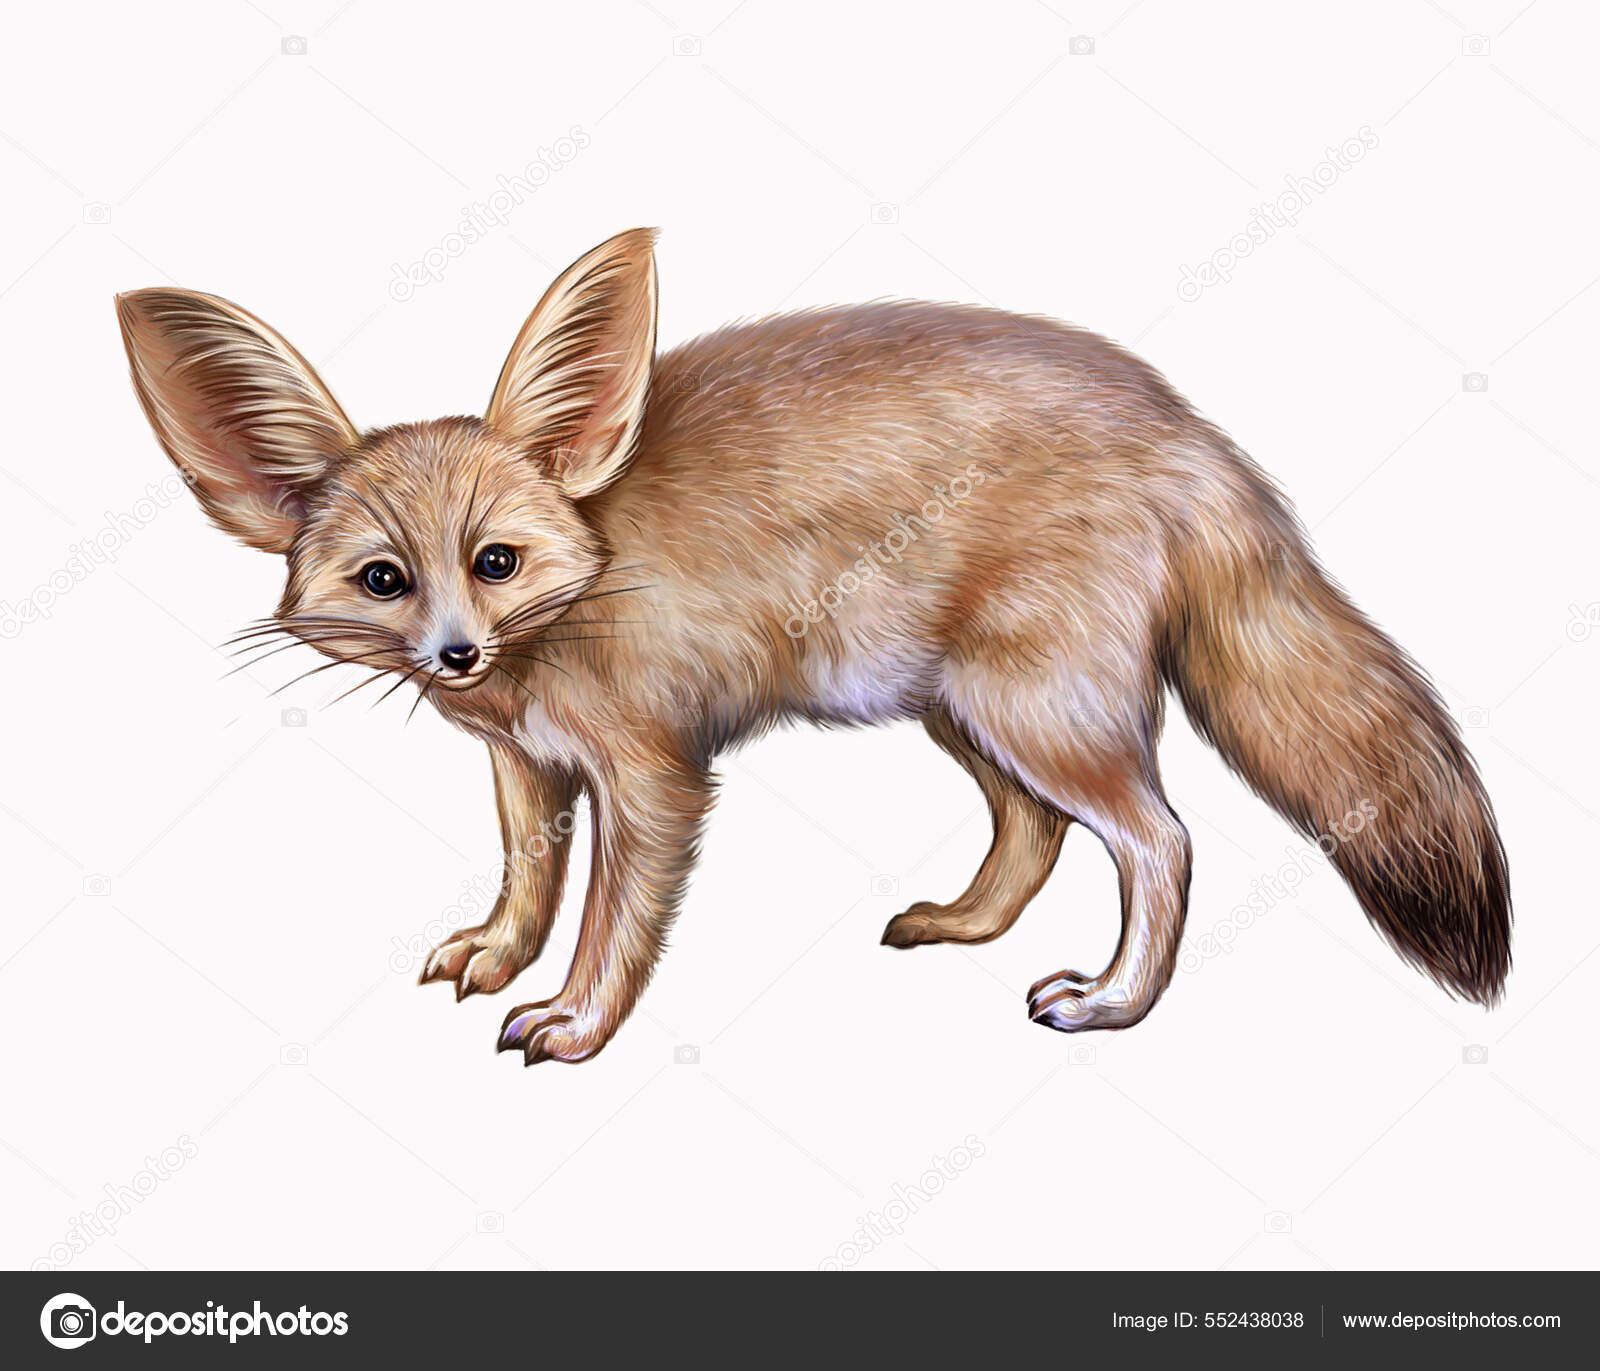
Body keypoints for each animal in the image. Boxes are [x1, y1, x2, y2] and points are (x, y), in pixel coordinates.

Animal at [116, 227, 1510, 1066]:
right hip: (966, 710)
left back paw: (1114, 1002)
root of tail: (1187, 427)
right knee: (1036, 828)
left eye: (496, 563)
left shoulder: (656, 774)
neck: (588, 580)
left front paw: (575, 1017)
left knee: (1158, 840)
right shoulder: (527, 761)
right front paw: (496, 953)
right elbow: (528, 878)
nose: (456, 658)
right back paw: (963, 924)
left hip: (1033, 709)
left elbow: (613, 920)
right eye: (387, 580)